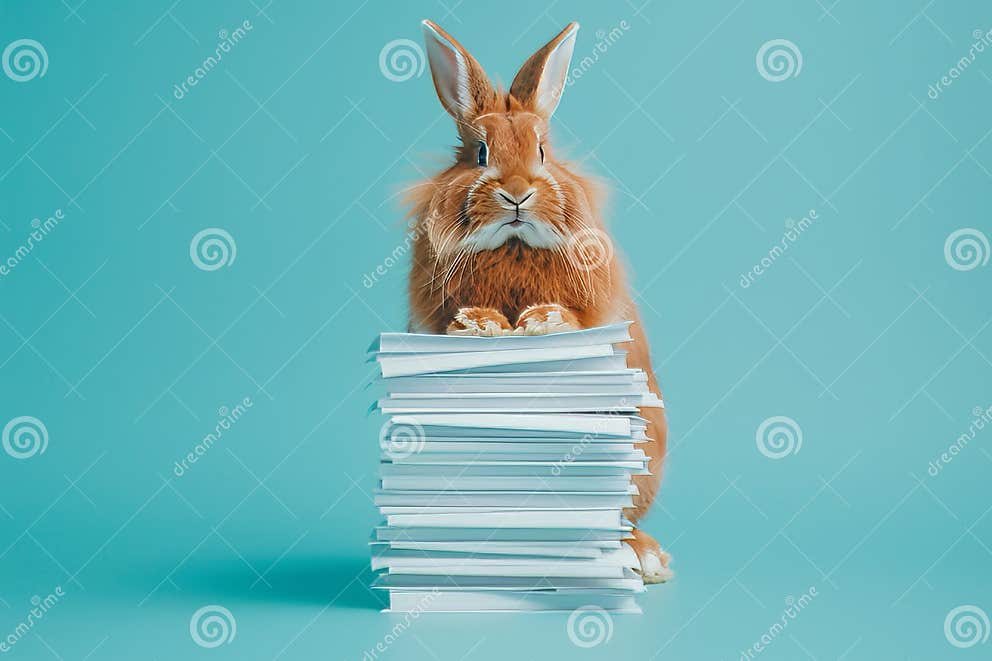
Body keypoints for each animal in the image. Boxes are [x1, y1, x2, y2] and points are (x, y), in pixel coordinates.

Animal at [405, 20, 672, 583]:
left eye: (543, 151)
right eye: (480, 153)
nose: (517, 192)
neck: (513, 243)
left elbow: (577, 317)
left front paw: (541, 323)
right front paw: (481, 326)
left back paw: (644, 557)